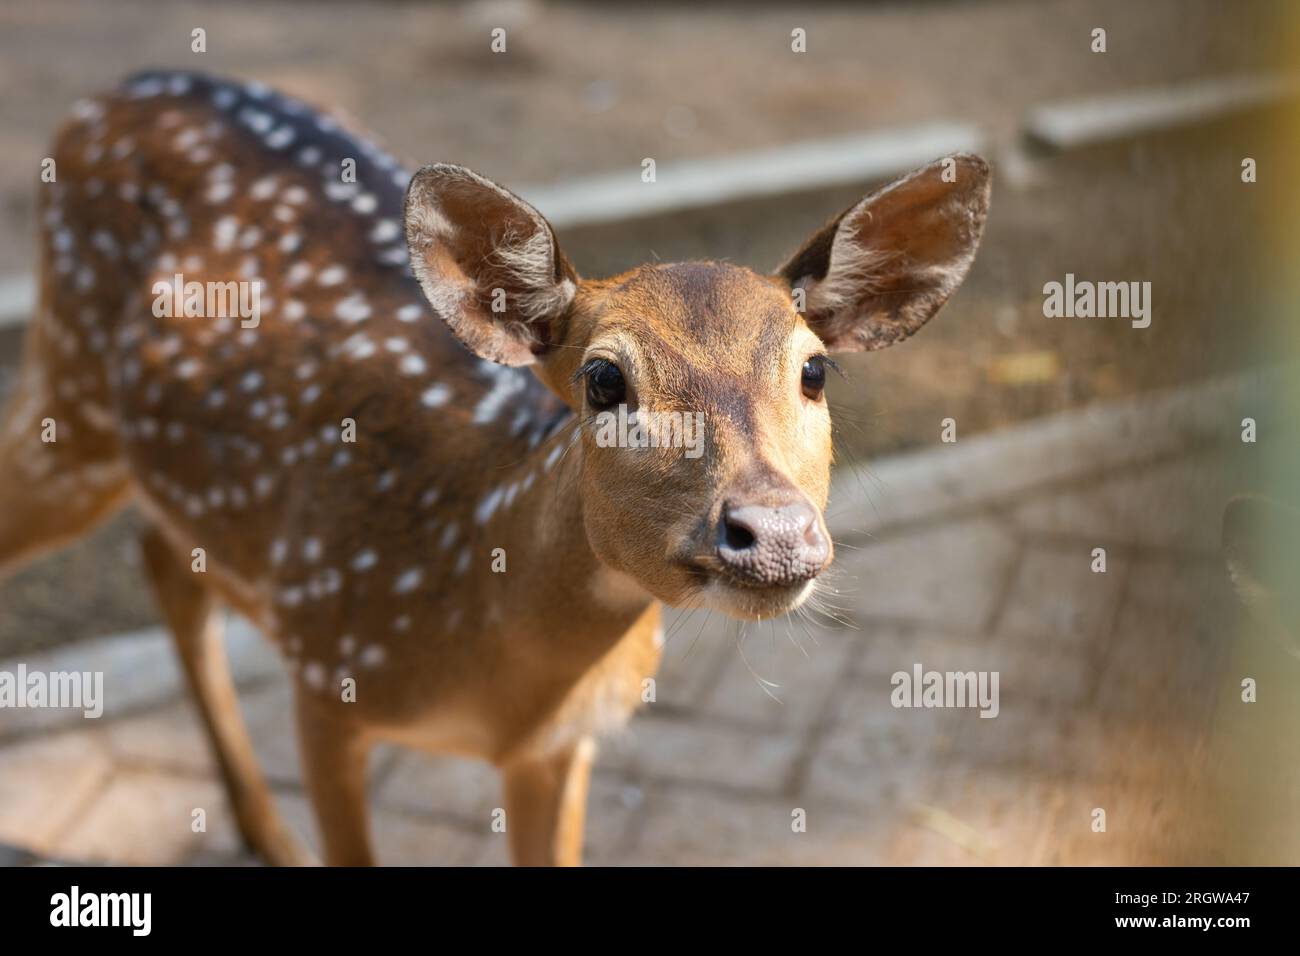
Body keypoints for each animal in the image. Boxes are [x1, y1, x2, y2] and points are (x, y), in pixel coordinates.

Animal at [0, 70, 990, 866]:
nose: (775, 533)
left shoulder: (560, 747)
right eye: (602, 378)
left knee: (165, 561)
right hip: (69, 397)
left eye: (814, 370)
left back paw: (263, 831)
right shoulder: (325, 672)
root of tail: (107, 96)